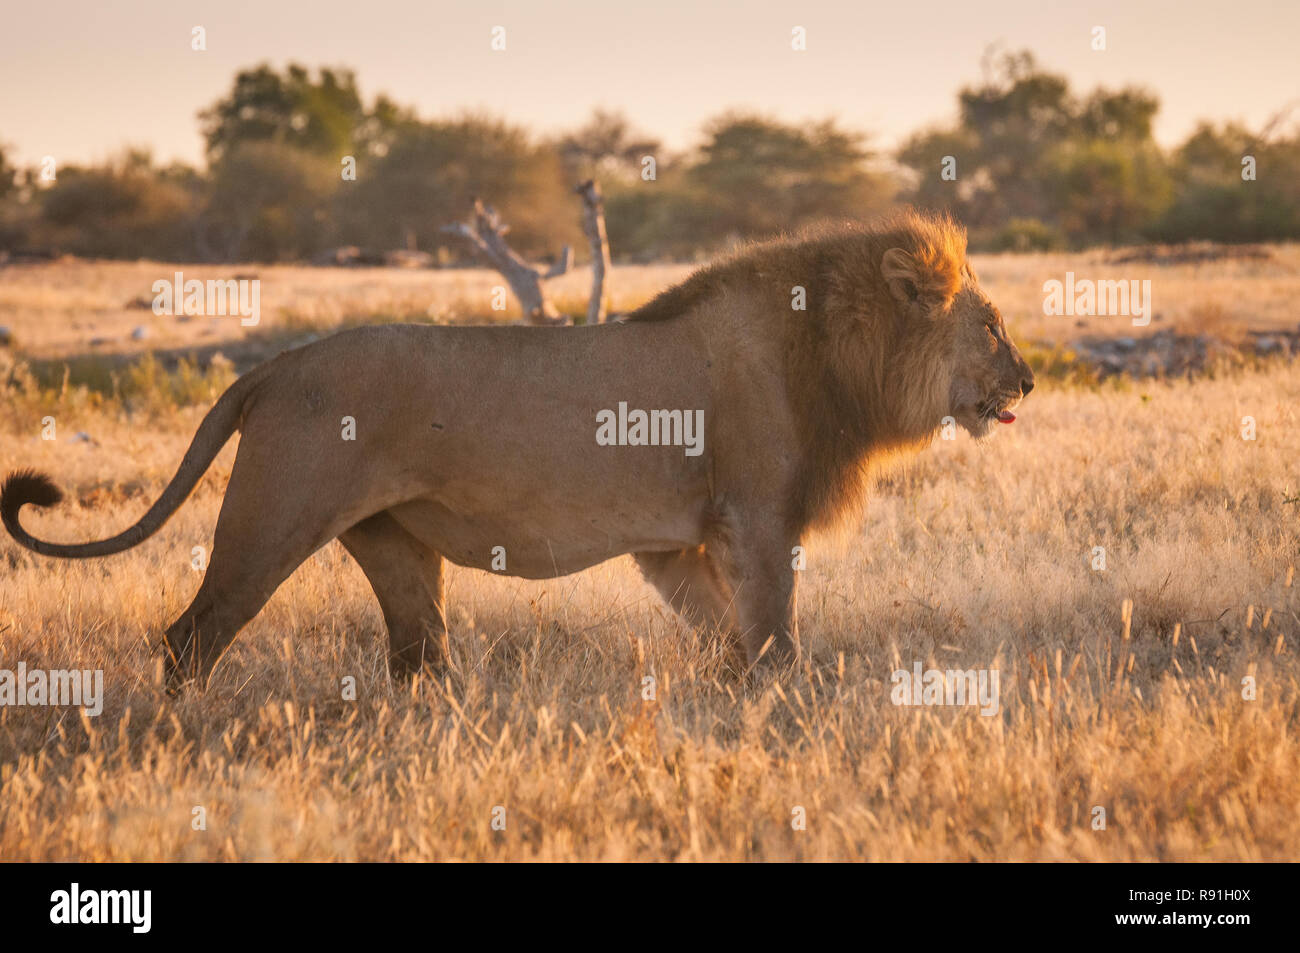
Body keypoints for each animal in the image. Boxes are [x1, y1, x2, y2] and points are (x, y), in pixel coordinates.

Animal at [1, 209, 1033, 688]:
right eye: (990, 327)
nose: (1027, 381)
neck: (832, 350)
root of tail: (276, 363)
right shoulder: (756, 519)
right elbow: (773, 632)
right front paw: (788, 711)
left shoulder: (674, 543)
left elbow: (726, 635)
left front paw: (737, 702)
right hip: (273, 518)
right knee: (191, 636)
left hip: (392, 542)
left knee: (418, 655)